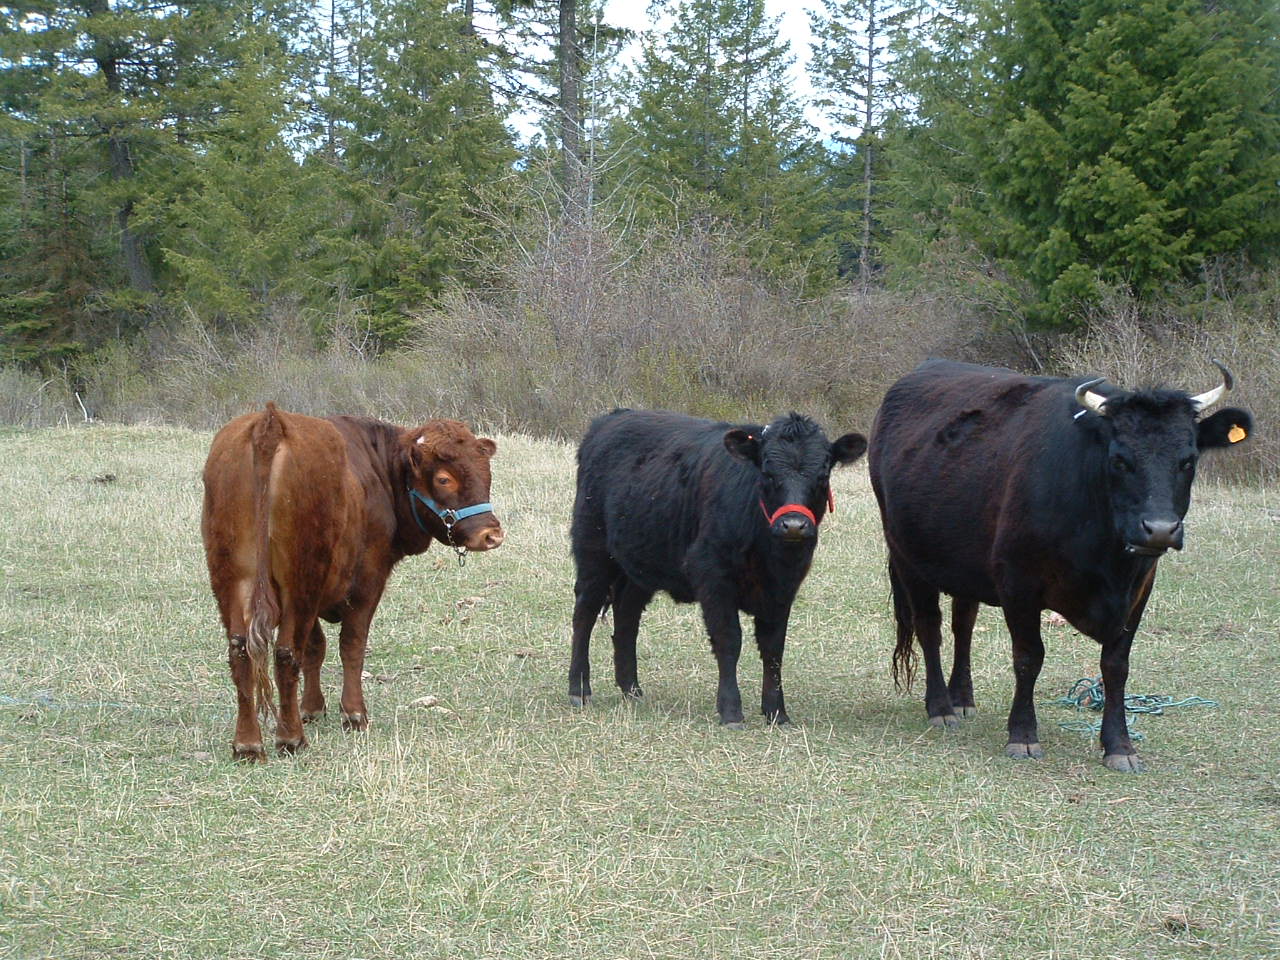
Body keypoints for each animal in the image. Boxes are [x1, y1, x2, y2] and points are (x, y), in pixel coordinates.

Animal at [201, 404, 503, 761]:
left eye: (486, 473)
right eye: (444, 478)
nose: (491, 534)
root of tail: (270, 422)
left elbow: (316, 648)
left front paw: (313, 707)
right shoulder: (368, 581)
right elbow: (352, 645)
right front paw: (354, 713)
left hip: (232, 580)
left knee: (242, 651)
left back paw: (247, 743)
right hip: (300, 582)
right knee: (286, 652)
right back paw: (291, 738)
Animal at [568, 409, 867, 727]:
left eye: (823, 475)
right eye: (767, 473)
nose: (794, 525)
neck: (767, 551)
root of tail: (613, 417)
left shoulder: (783, 587)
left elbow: (774, 648)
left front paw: (776, 712)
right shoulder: (713, 575)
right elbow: (729, 639)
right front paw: (731, 710)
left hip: (640, 564)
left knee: (627, 617)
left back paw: (631, 689)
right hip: (593, 552)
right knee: (584, 615)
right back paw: (579, 689)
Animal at [867, 359, 1253, 771]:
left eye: (1188, 460)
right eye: (1119, 459)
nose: (1160, 529)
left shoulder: (1139, 589)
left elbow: (1116, 665)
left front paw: (1119, 745)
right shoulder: (1018, 582)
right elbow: (1028, 657)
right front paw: (1023, 735)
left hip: (963, 562)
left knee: (963, 625)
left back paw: (962, 698)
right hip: (907, 557)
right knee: (929, 628)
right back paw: (940, 706)